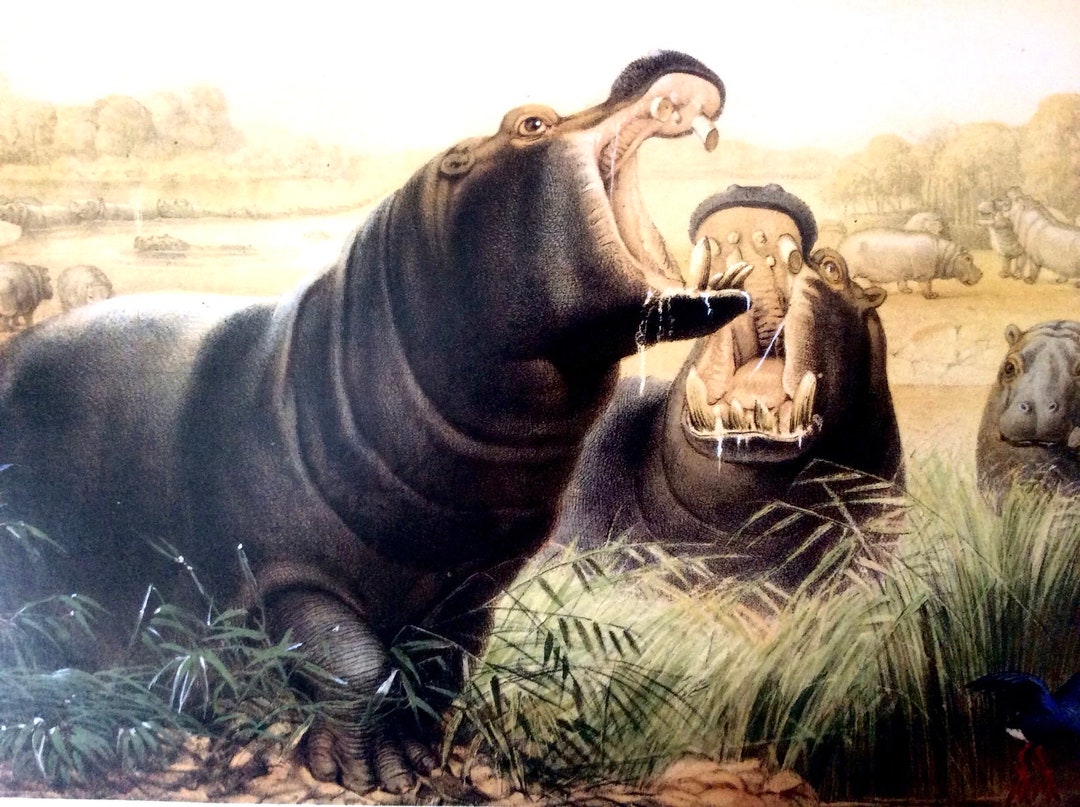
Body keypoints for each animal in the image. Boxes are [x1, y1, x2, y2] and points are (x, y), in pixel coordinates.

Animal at [0, 51, 747, 794]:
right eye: (530, 121)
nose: (649, 62)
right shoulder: (285, 571)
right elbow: (355, 667)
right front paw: (366, 773)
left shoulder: (469, 586)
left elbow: (439, 671)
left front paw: (420, 760)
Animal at [838, 228, 982, 299]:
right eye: (968, 258)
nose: (981, 273)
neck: (946, 255)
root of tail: (841, 246)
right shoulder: (924, 274)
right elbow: (926, 285)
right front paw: (932, 296)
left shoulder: (903, 273)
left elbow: (903, 282)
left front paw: (908, 291)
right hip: (852, 271)